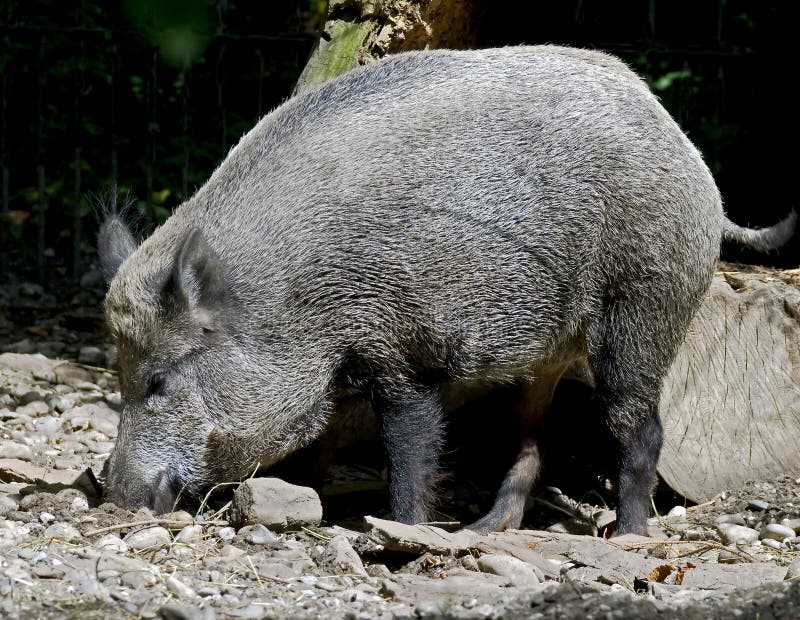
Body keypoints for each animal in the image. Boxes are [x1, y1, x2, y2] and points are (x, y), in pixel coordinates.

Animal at [98, 45, 794, 535]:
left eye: (157, 379)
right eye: (120, 374)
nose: (114, 501)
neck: (290, 299)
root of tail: (693, 161)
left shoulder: (396, 344)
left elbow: (409, 442)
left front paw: (399, 527)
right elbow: (323, 439)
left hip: (644, 309)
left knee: (639, 427)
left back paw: (625, 535)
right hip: (546, 353)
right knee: (530, 438)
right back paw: (487, 529)